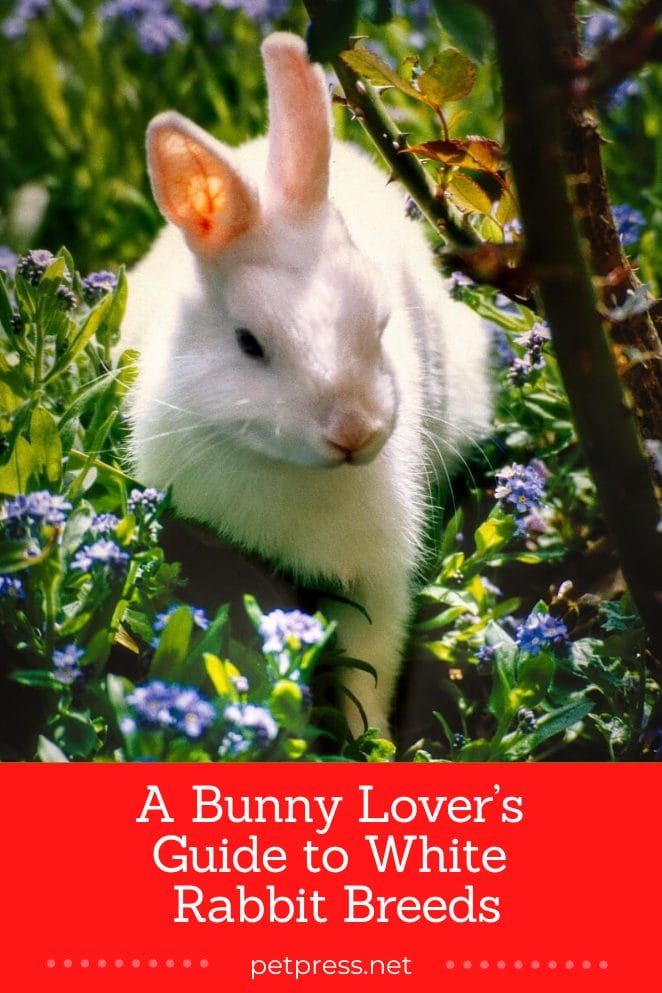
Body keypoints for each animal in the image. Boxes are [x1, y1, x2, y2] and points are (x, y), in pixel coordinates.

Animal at [121, 31, 492, 739]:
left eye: (379, 323)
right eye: (249, 343)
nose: (355, 432)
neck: (287, 470)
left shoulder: (377, 587)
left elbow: (367, 674)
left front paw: (375, 744)